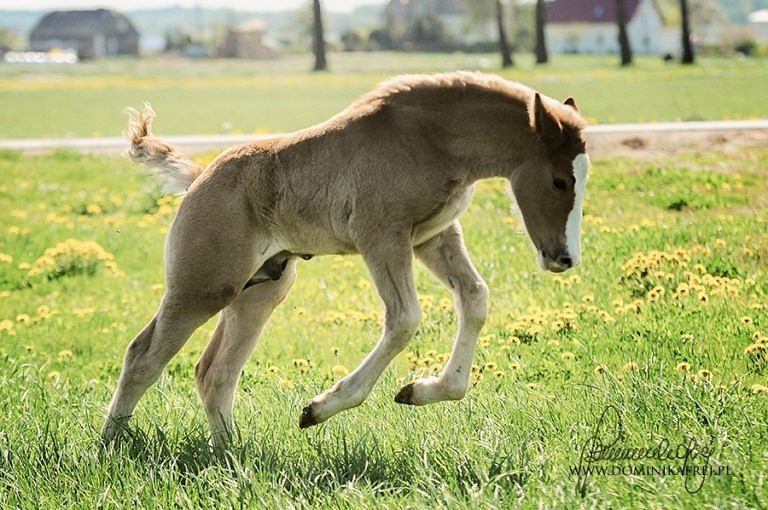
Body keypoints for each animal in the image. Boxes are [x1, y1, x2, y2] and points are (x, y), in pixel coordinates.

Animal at [102, 71, 589, 448]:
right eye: (559, 180)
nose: (564, 258)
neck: (432, 141)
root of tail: (199, 178)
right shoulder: (382, 238)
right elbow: (405, 319)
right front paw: (318, 409)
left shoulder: (433, 237)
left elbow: (475, 297)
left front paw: (421, 390)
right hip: (204, 287)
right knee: (143, 356)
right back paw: (109, 445)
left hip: (260, 291)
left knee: (214, 372)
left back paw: (229, 454)